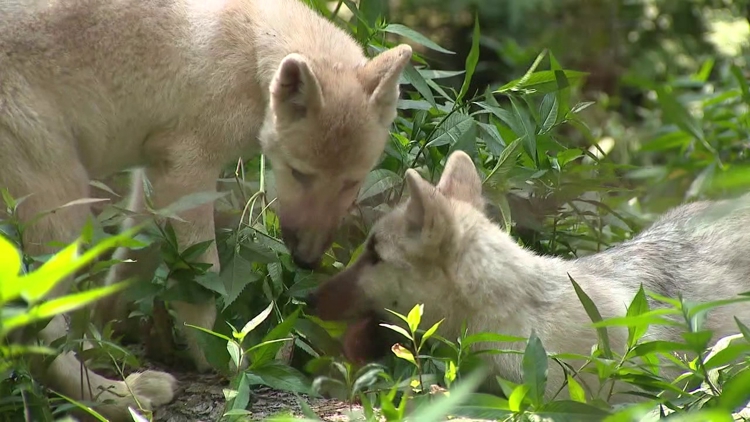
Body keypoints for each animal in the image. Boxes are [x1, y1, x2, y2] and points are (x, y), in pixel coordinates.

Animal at [0, 0, 412, 418]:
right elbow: (202, 287)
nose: (306, 260)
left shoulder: (157, 183)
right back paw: (120, 397)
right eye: (299, 173)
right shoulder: (188, 175)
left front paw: (104, 337)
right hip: (62, 216)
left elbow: (125, 273)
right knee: (32, 333)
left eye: (349, 182)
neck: (248, 50)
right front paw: (221, 357)